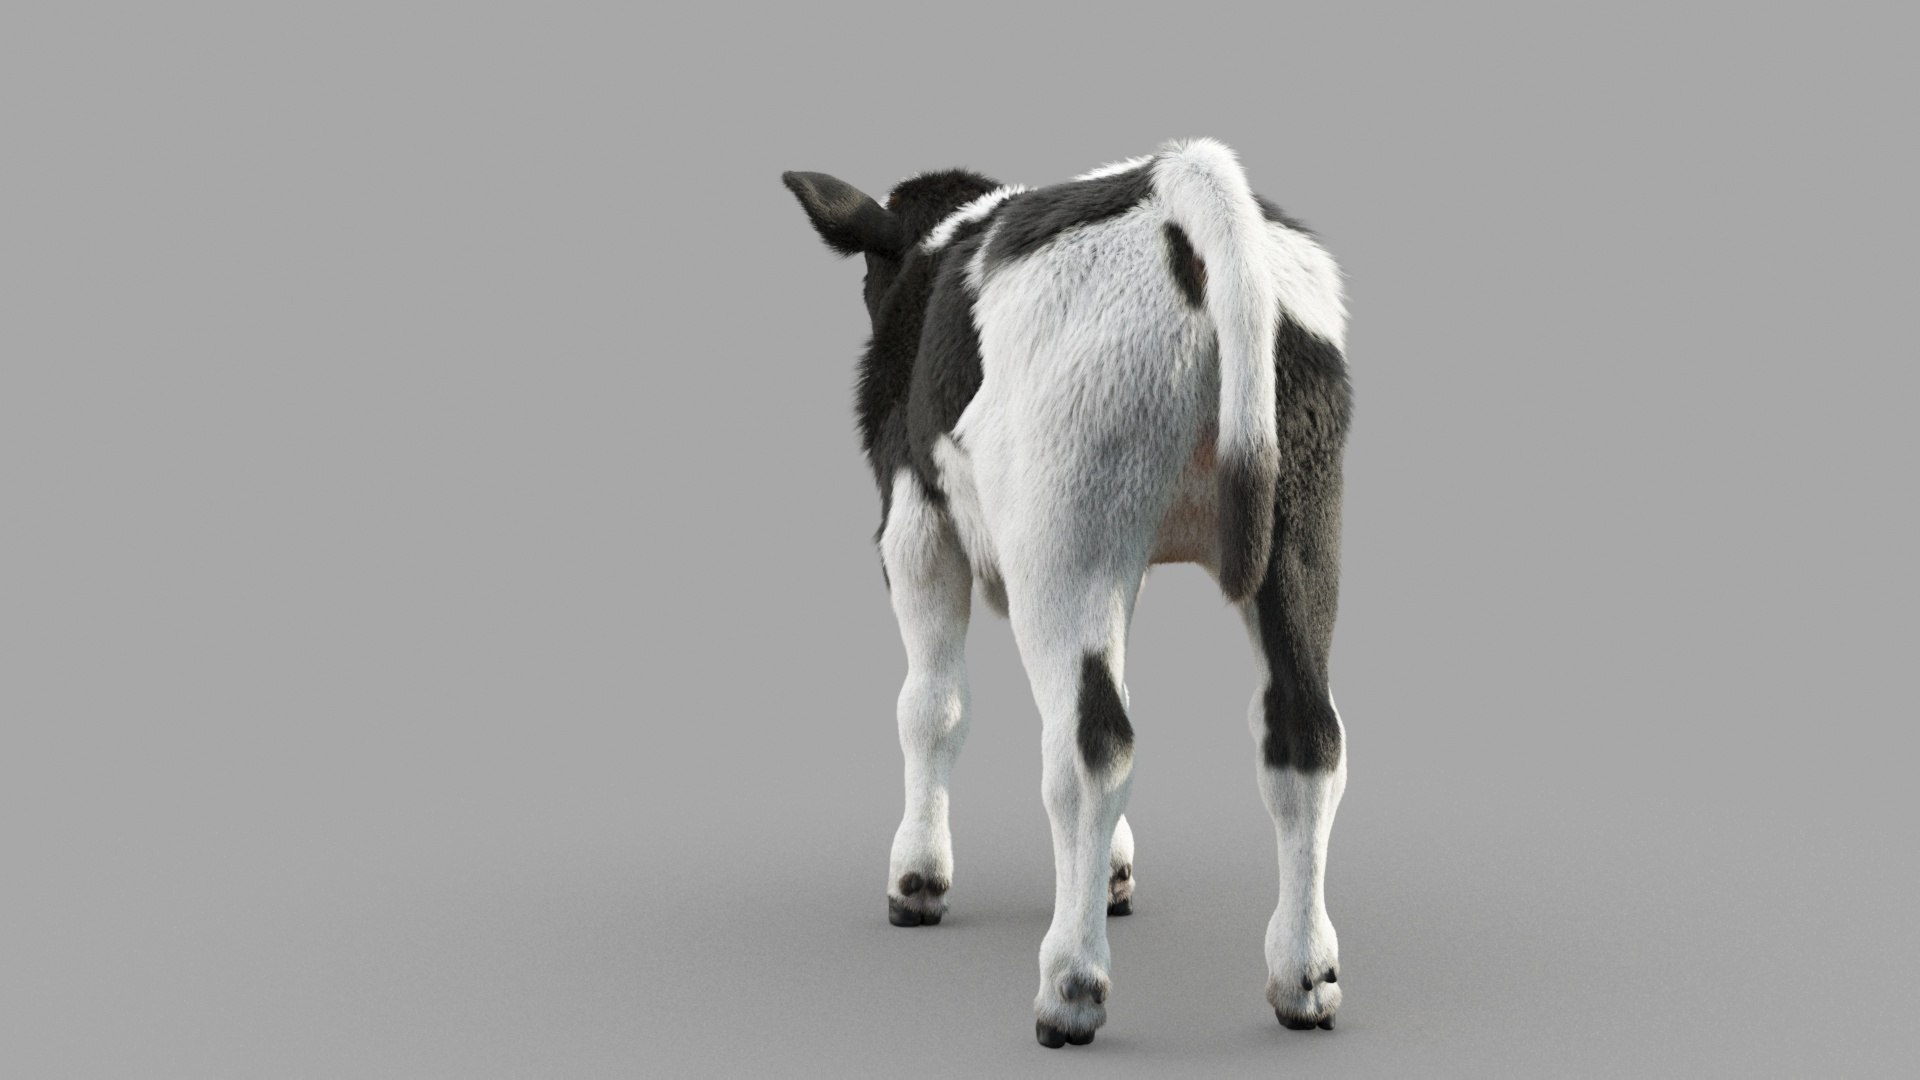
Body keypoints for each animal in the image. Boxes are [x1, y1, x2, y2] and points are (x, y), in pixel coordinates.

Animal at [781, 138, 1353, 1047]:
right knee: (1304, 735)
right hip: (1296, 523)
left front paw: (917, 878)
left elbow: (930, 706)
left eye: (871, 270)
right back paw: (1304, 976)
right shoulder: (1128, 567)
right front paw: (1114, 872)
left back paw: (1071, 986)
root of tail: (1179, 187)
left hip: (1064, 528)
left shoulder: (913, 520)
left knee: (1092, 746)